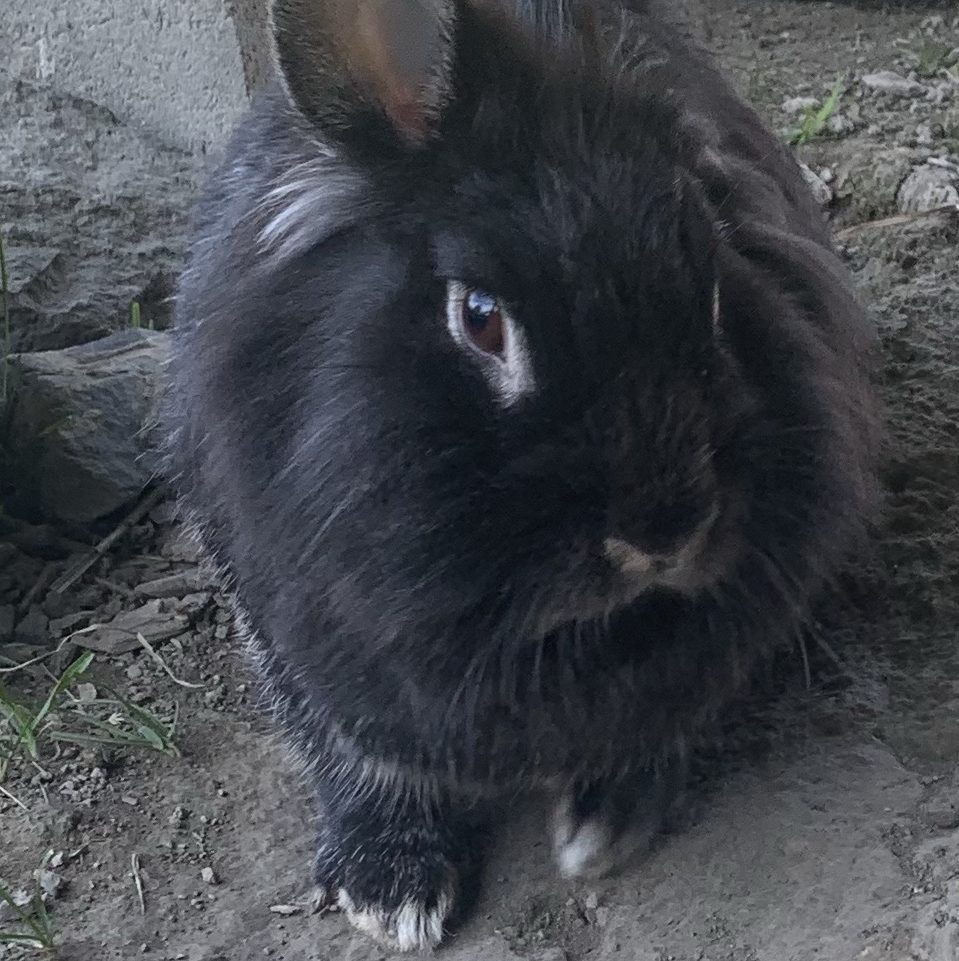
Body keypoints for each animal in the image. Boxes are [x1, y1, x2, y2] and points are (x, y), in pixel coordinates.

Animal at [164, 0, 880, 952]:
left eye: (715, 285)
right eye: (479, 319)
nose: (664, 532)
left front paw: (602, 828)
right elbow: (354, 754)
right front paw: (392, 891)